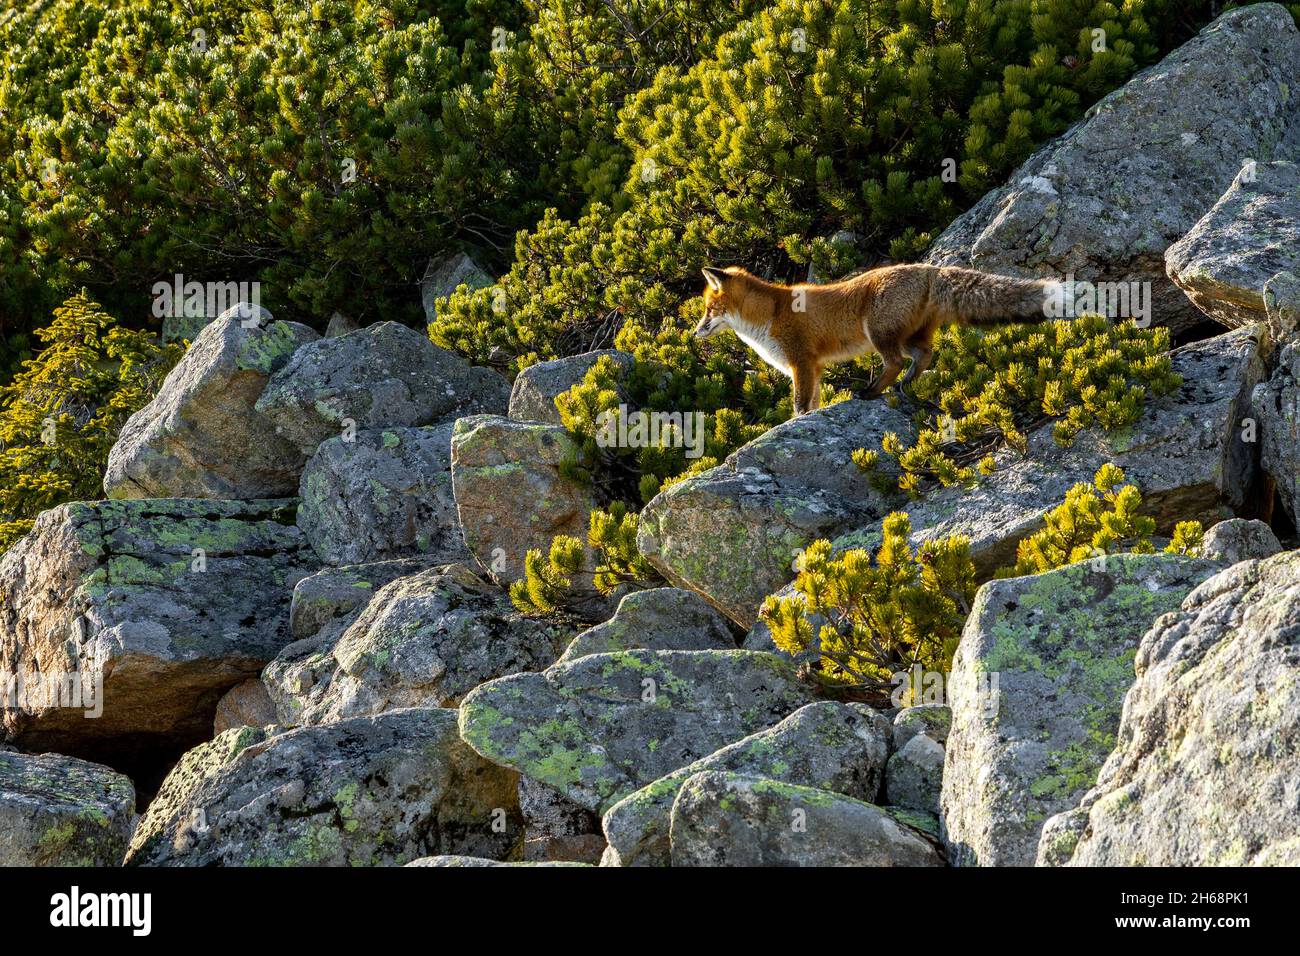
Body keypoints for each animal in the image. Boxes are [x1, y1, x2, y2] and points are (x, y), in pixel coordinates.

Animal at [694, 263, 1059, 415]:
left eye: (709, 310)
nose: (694, 331)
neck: (770, 314)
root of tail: (929, 268)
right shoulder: (814, 369)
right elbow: (812, 403)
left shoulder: (802, 363)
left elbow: (800, 405)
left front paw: (798, 421)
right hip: (907, 336)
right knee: (923, 356)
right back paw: (905, 385)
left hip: (879, 333)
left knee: (895, 362)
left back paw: (871, 392)